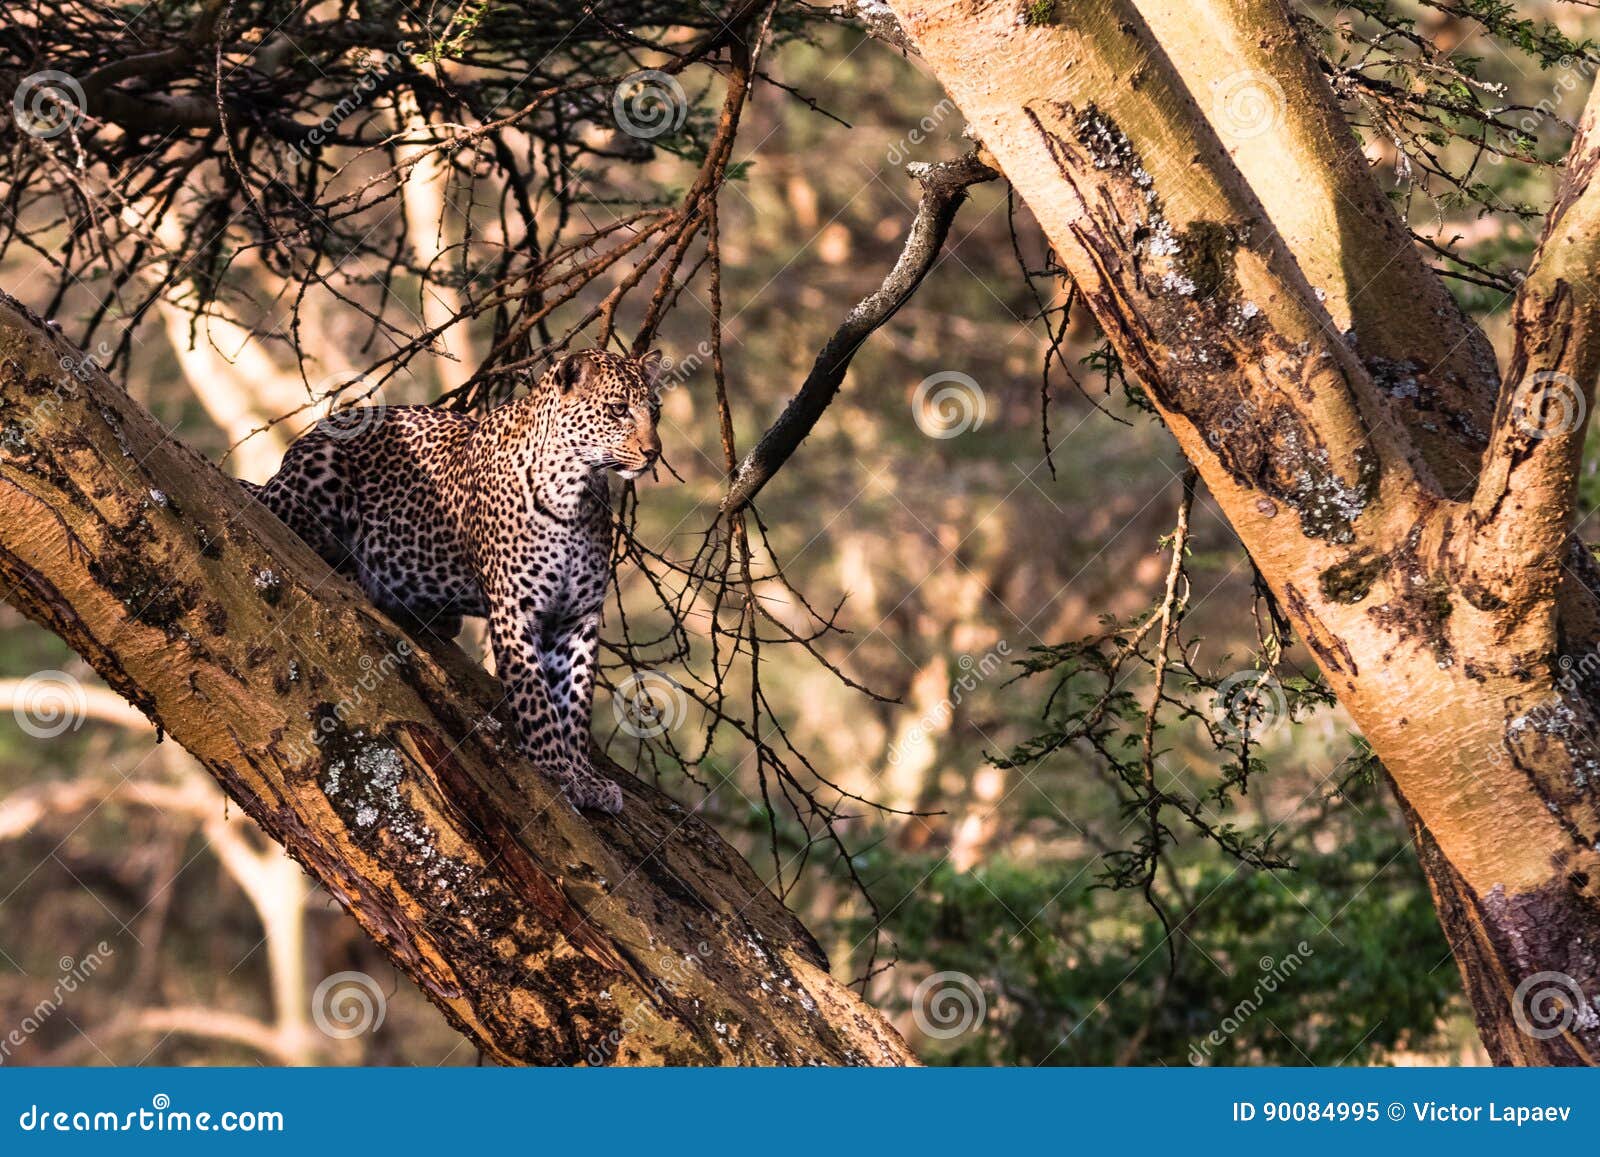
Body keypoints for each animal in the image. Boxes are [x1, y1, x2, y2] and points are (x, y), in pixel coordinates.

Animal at [241, 348, 665, 814]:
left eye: (656, 412)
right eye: (618, 409)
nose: (653, 452)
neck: (576, 492)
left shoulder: (577, 618)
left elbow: (574, 702)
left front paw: (584, 774)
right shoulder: (515, 609)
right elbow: (536, 698)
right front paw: (556, 770)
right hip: (318, 474)